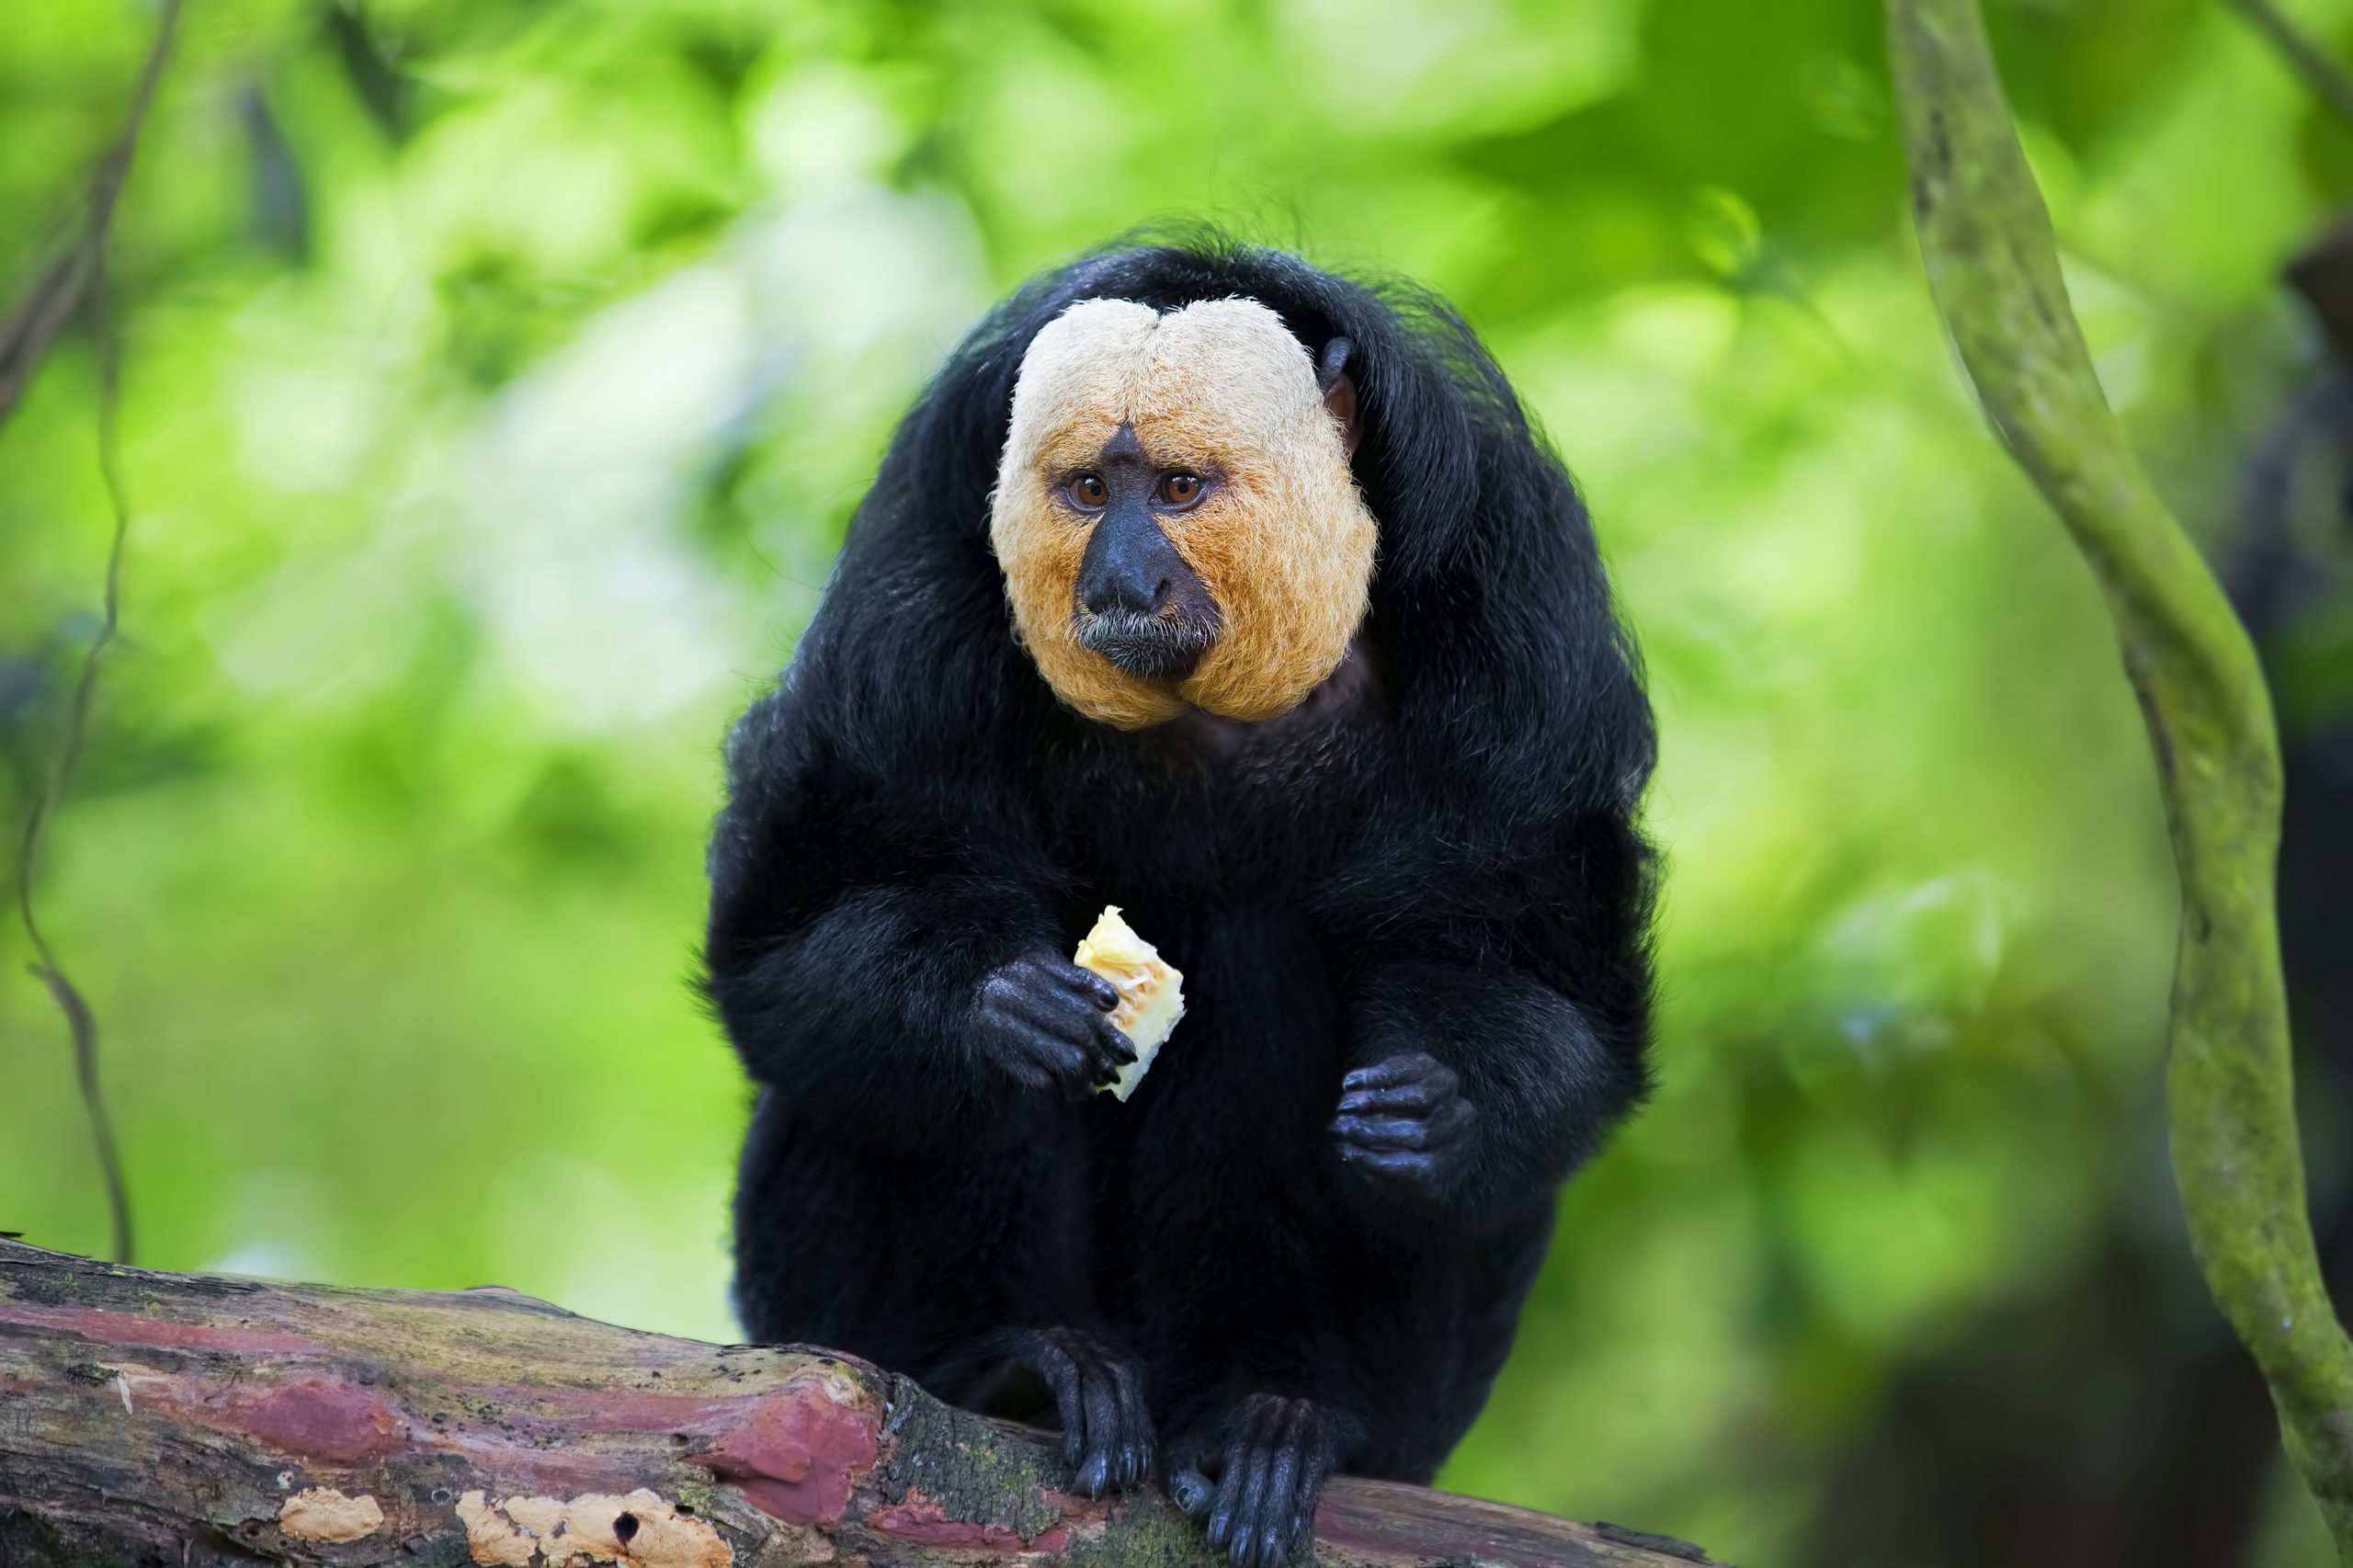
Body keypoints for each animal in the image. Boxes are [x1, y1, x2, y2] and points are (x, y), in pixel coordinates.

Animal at [705, 236, 1656, 1568]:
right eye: (1088, 492)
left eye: (1177, 487)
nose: (1118, 577)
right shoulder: (917, 571)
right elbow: (792, 931)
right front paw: (999, 1010)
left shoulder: (1520, 608)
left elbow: (1523, 953)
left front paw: (1442, 1110)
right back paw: (1017, 1368)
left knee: (1269, 984)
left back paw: (1275, 1416)